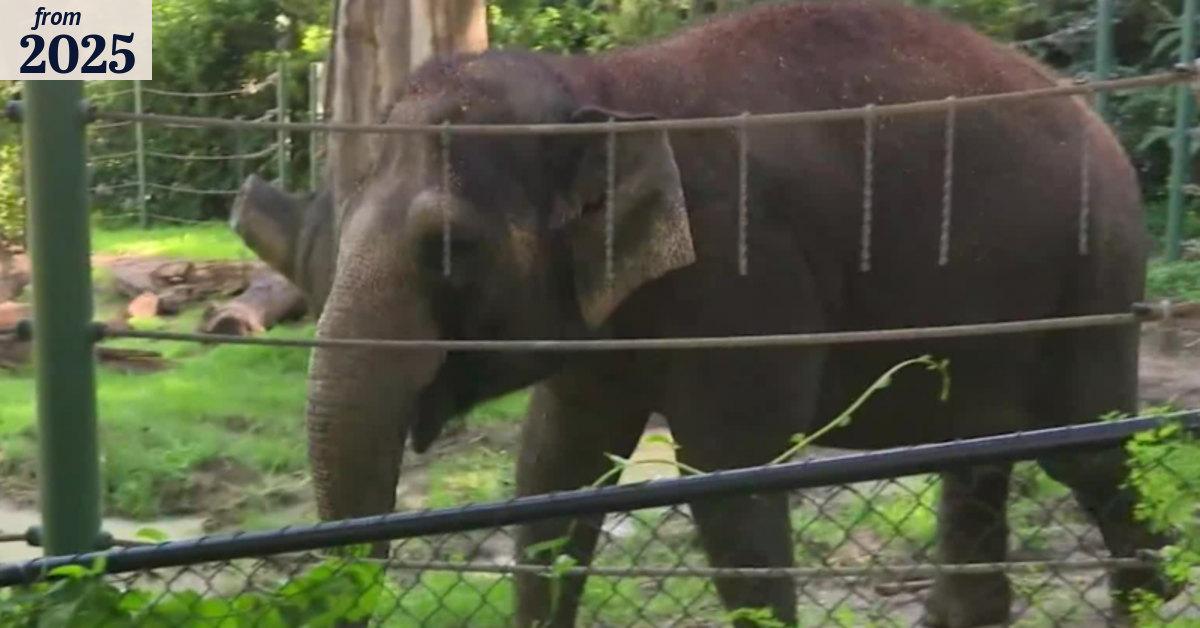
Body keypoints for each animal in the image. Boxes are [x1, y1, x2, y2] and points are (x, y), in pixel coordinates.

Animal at [302, 1, 1182, 626]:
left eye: (449, 247)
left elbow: (730, 486)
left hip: (1092, 279)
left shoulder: (747, 270)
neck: (605, 87)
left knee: (1092, 454)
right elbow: (555, 469)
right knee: (979, 460)